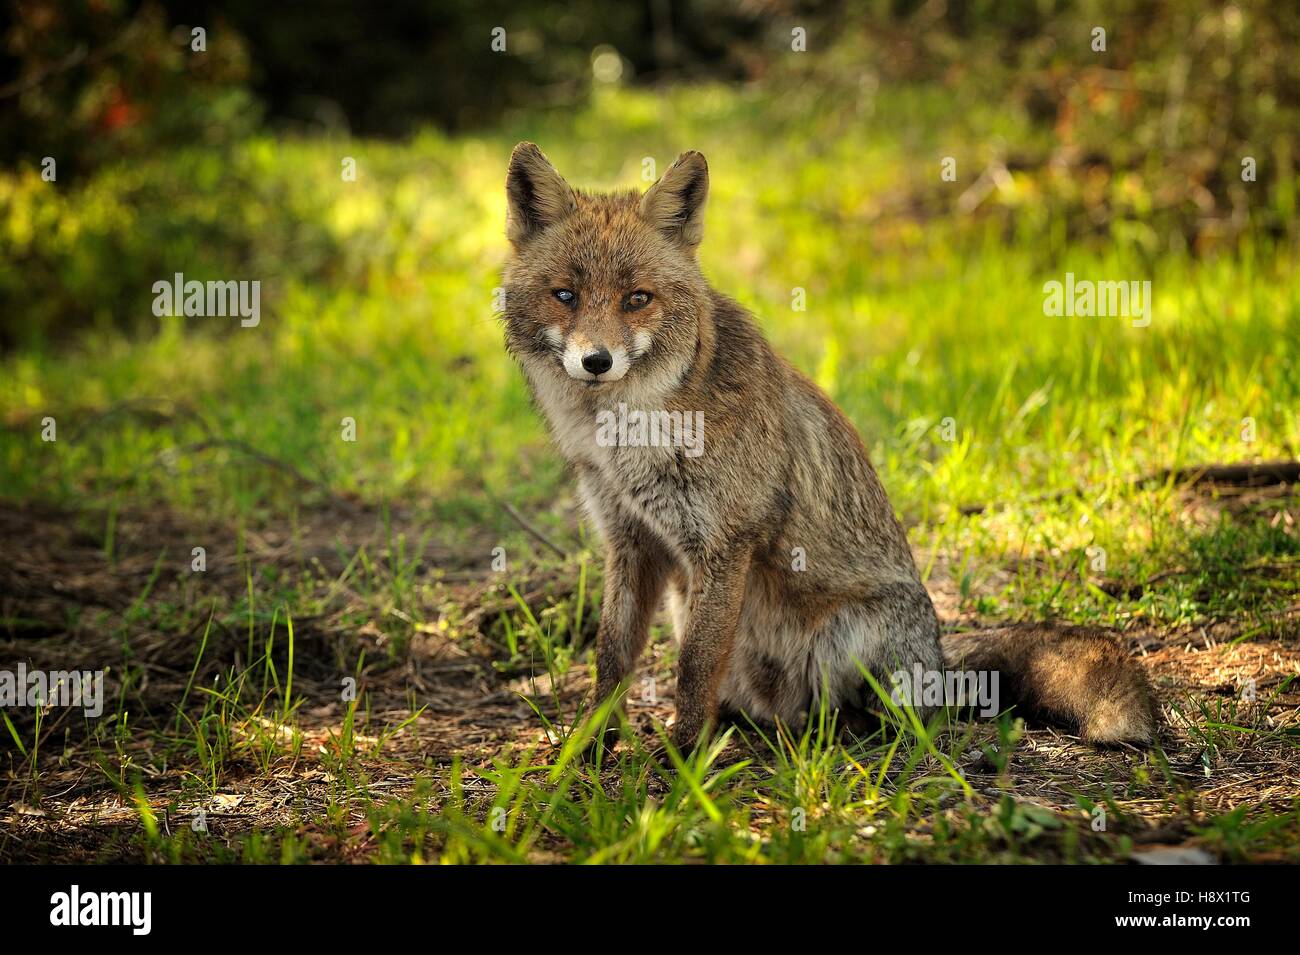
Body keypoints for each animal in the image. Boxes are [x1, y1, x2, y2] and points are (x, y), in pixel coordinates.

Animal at [500, 142, 1157, 754]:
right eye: (565, 295)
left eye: (637, 298)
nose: (597, 361)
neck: (626, 437)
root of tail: (939, 655)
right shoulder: (632, 542)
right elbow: (611, 659)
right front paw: (589, 746)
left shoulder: (724, 542)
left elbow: (693, 665)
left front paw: (682, 756)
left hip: (847, 644)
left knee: (899, 717)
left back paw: (836, 731)